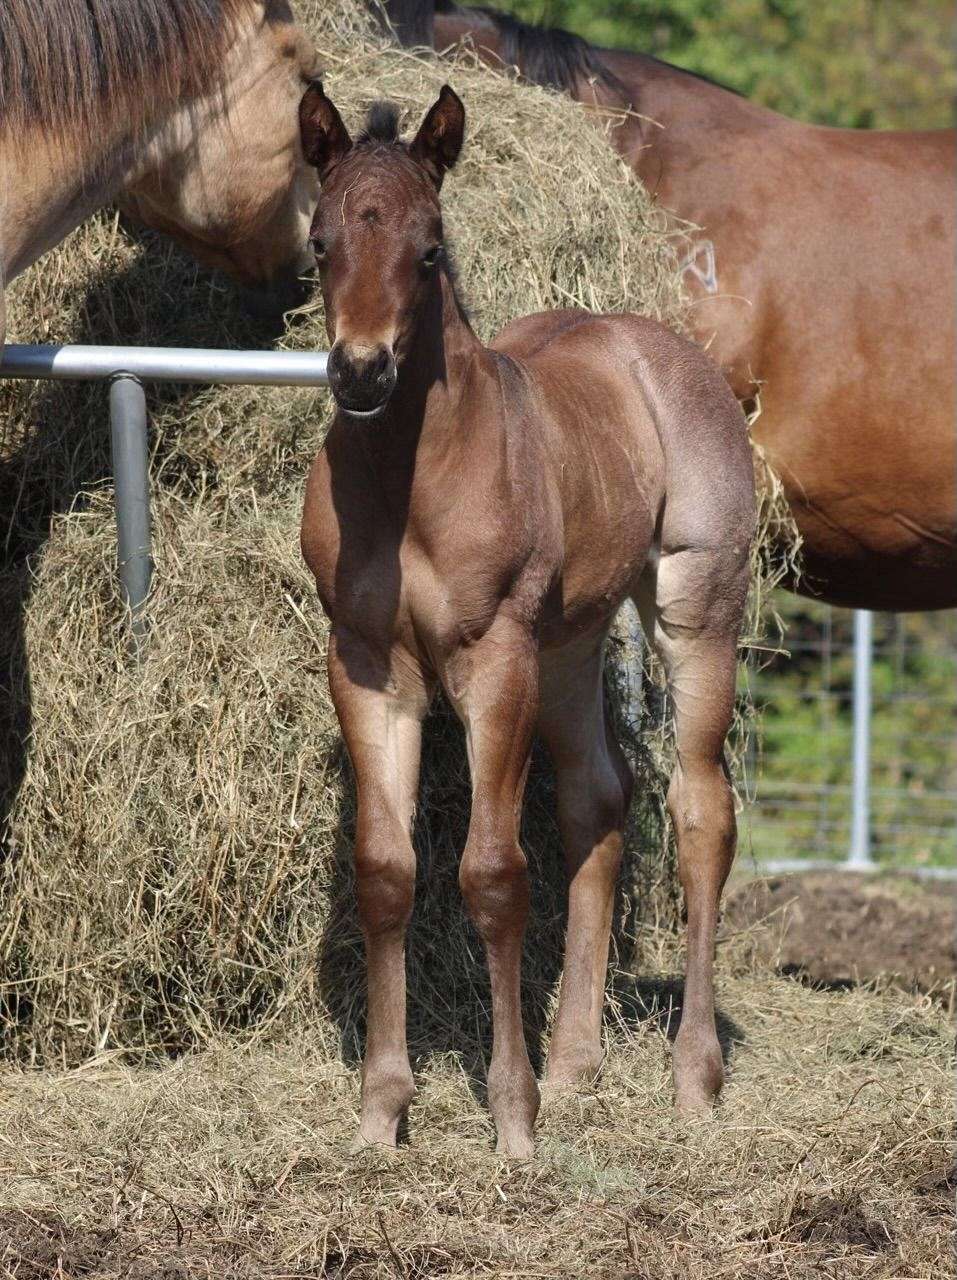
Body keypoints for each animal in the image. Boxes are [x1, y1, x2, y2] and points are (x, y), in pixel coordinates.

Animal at [297, 83, 755, 1157]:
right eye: (319, 241)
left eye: (429, 248)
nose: (361, 374)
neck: (411, 486)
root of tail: (657, 345)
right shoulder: (366, 665)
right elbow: (386, 871)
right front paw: (381, 1112)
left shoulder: (492, 658)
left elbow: (494, 875)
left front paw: (512, 1117)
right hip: (569, 643)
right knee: (598, 797)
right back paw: (577, 1063)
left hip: (693, 612)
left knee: (701, 809)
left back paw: (692, 1075)